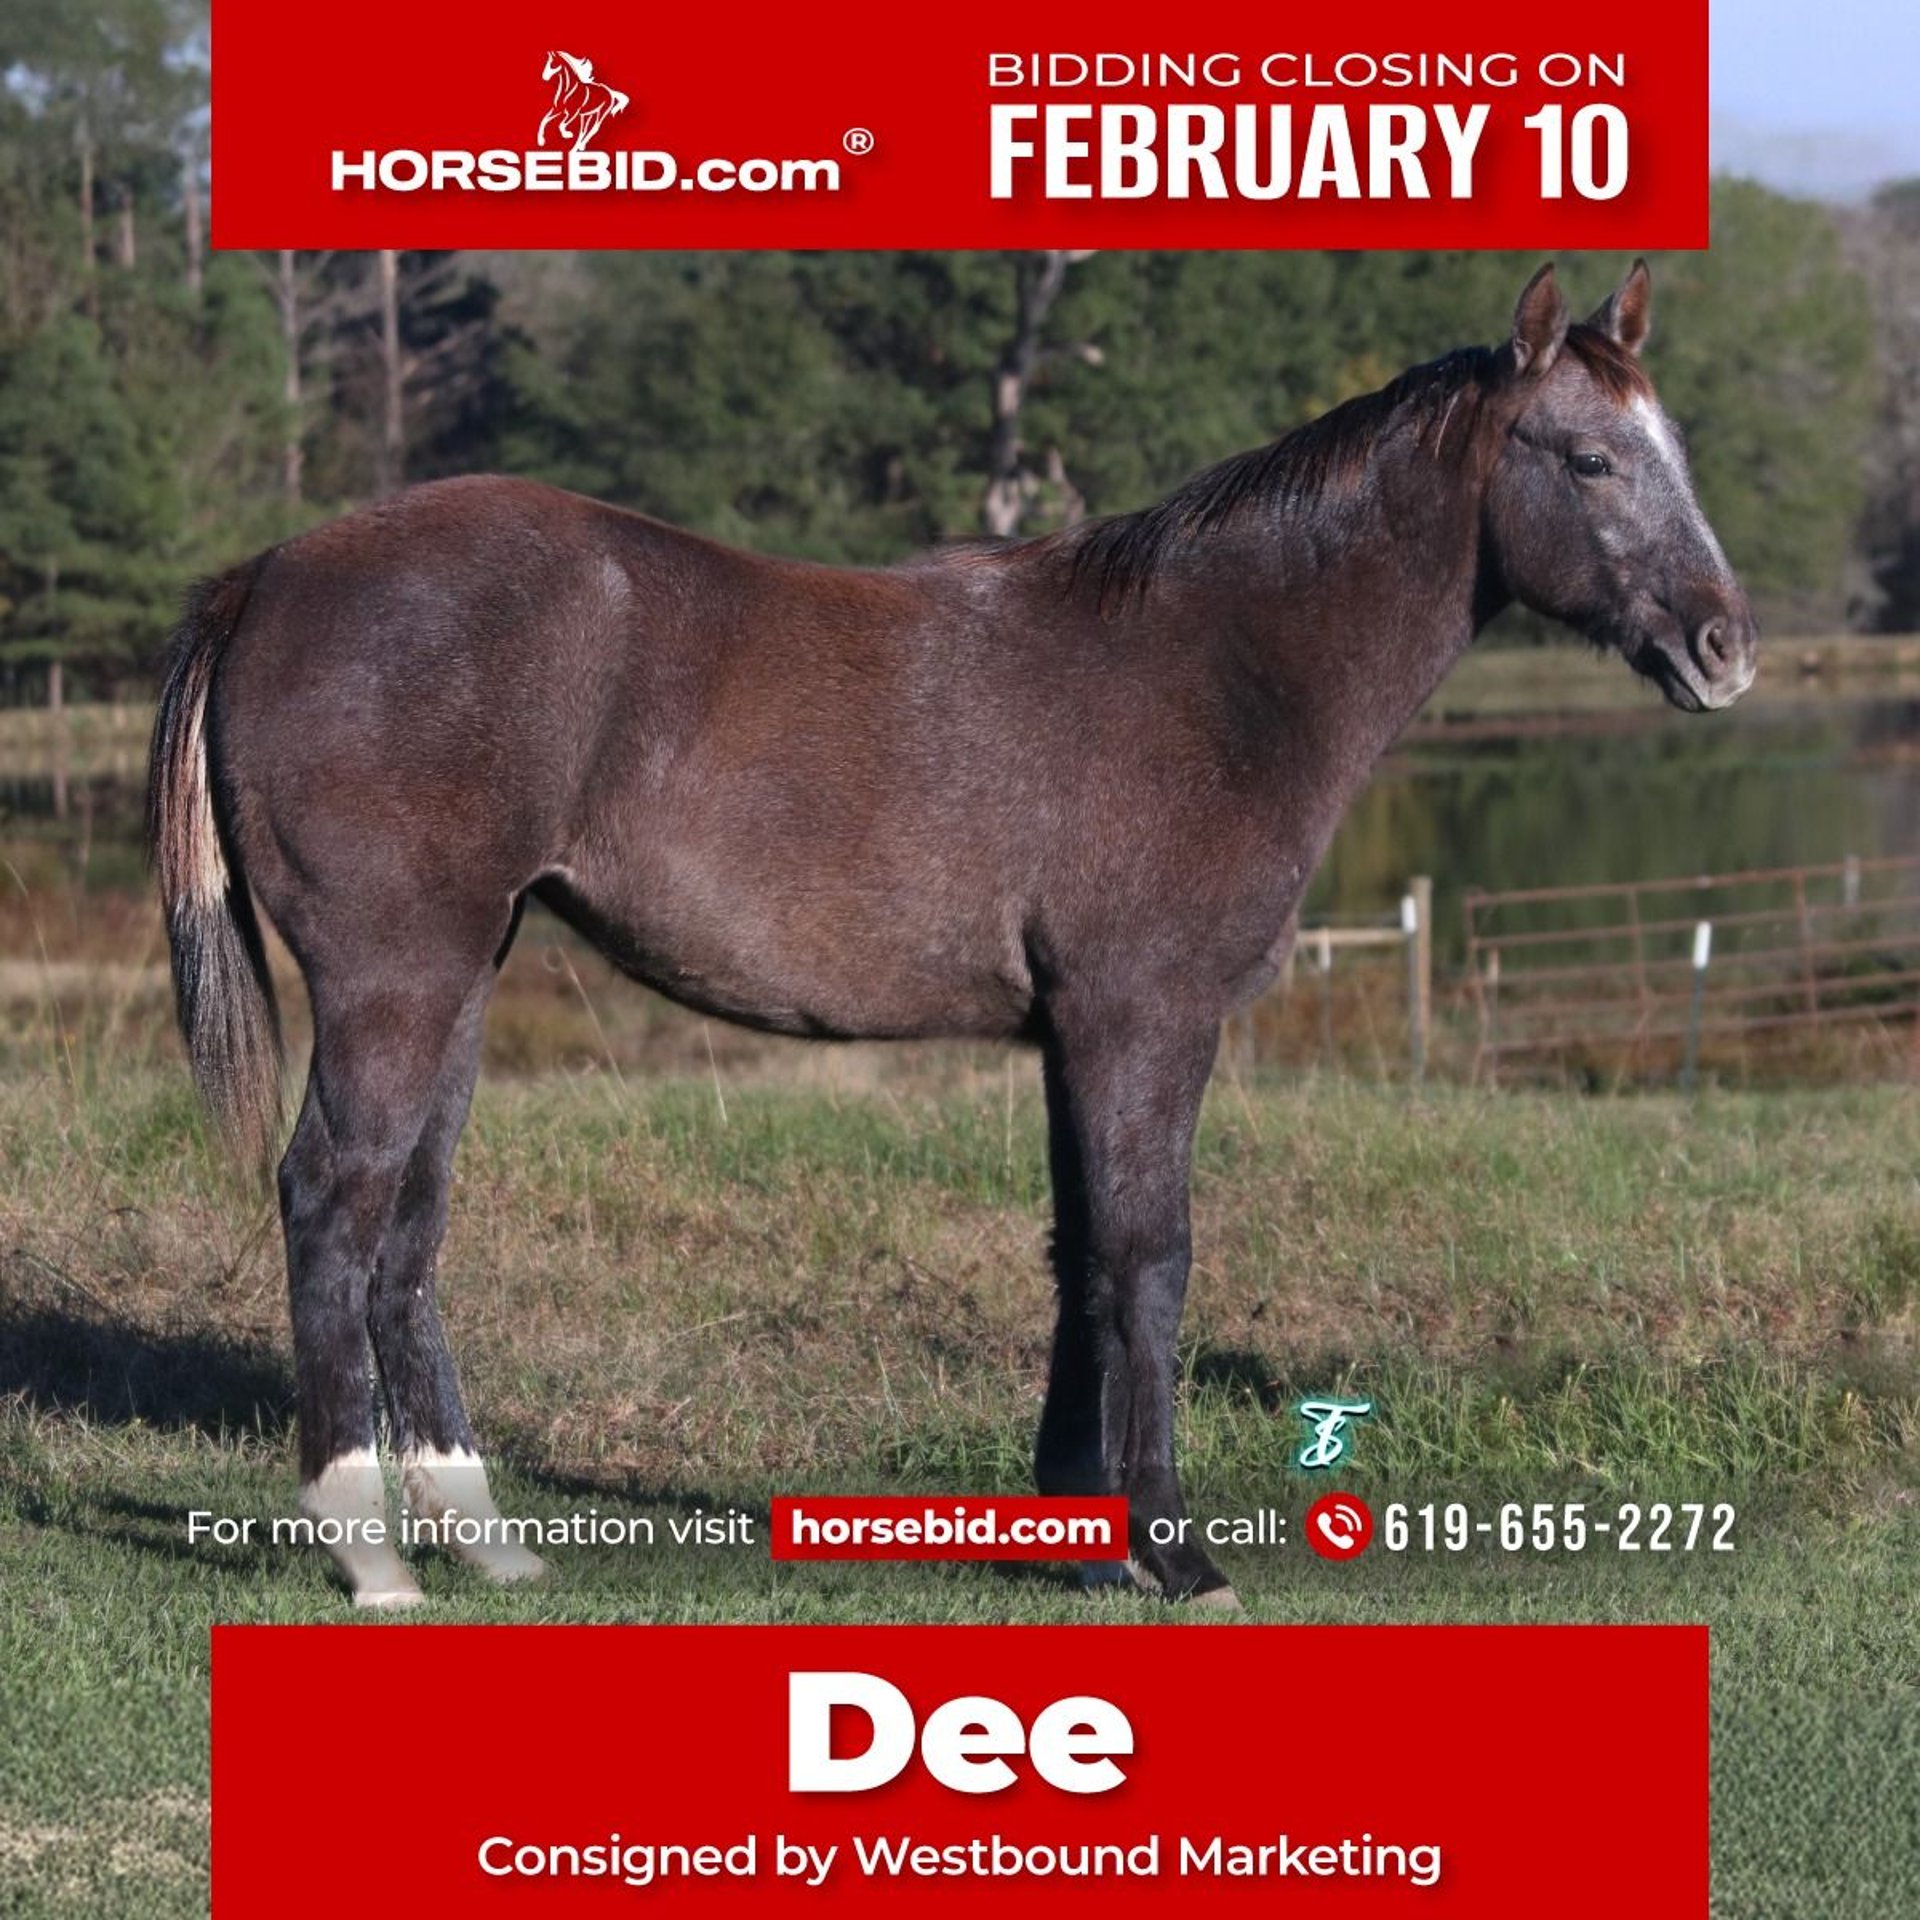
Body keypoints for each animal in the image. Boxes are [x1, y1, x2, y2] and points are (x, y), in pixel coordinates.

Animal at [147, 263, 1755, 1609]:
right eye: (1592, 458)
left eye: (1676, 448)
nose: (1725, 646)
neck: (1216, 671)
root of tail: (268, 572)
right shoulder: (1144, 1020)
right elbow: (1148, 1257)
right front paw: (1175, 1555)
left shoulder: (1074, 1034)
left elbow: (1078, 1252)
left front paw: (1082, 1529)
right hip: (393, 981)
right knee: (330, 1200)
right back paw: (371, 1555)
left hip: (462, 975)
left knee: (408, 1227)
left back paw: (482, 1542)